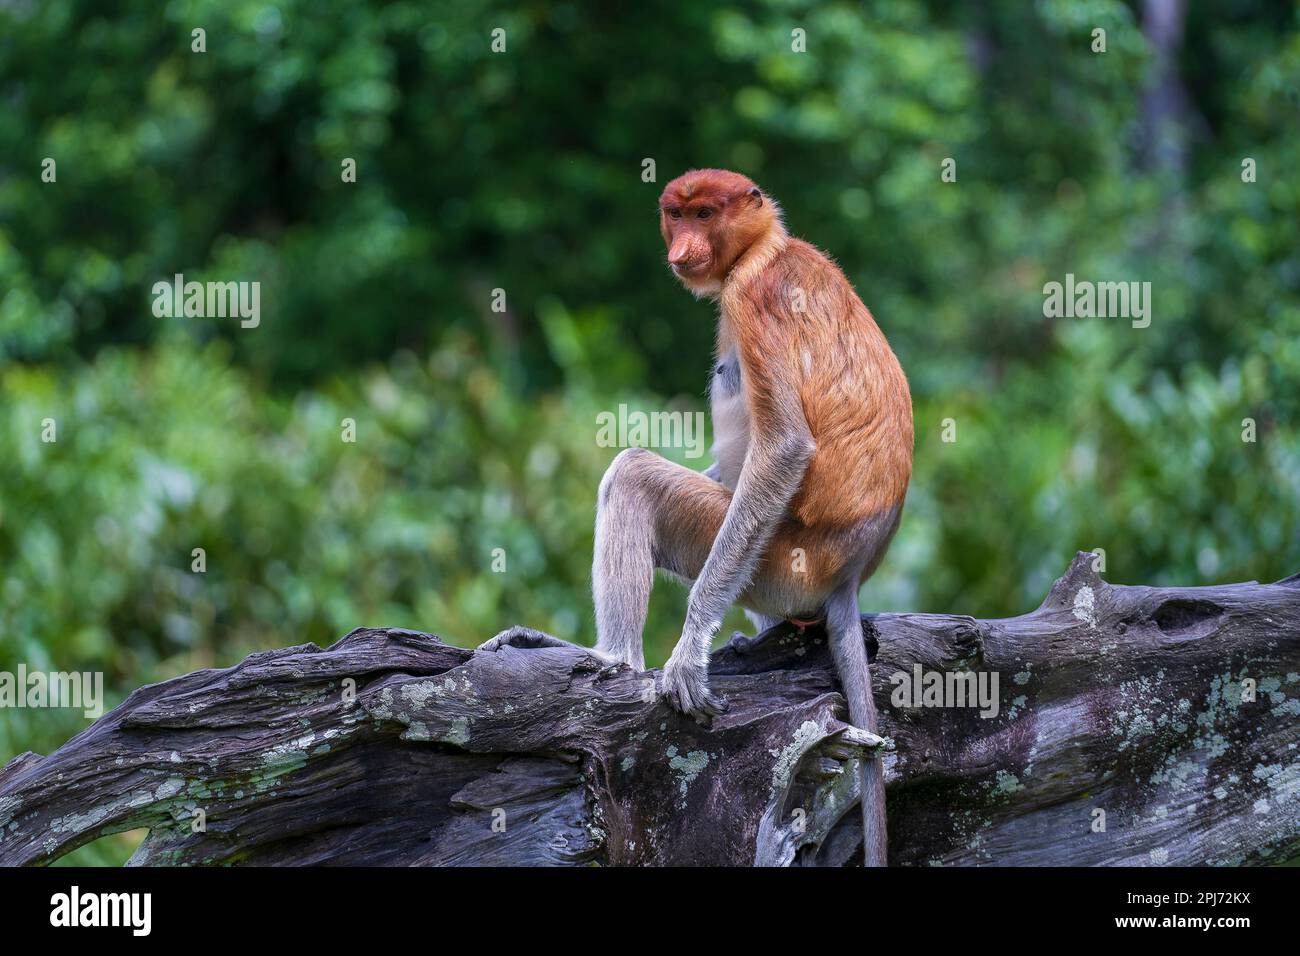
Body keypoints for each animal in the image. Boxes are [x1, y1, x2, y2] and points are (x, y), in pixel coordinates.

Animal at [482, 168, 912, 866]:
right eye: (675, 215)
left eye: (706, 214)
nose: (683, 248)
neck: (764, 247)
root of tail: (849, 574)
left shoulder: (752, 300)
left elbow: (783, 446)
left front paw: (686, 658)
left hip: (777, 560)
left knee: (633, 476)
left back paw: (616, 661)